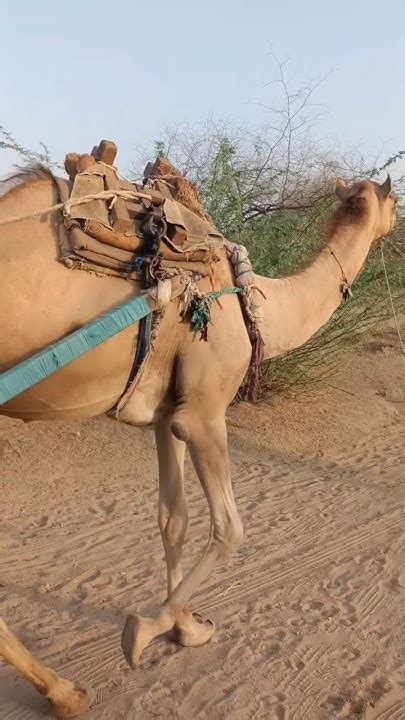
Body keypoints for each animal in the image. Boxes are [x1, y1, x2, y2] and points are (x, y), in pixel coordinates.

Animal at [0, 168, 396, 717]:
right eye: (393, 201)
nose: (398, 224)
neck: (255, 303)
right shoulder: (206, 414)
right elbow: (230, 529)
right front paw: (144, 631)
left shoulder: (169, 414)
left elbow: (173, 520)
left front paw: (187, 628)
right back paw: (66, 692)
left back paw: (60, 689)